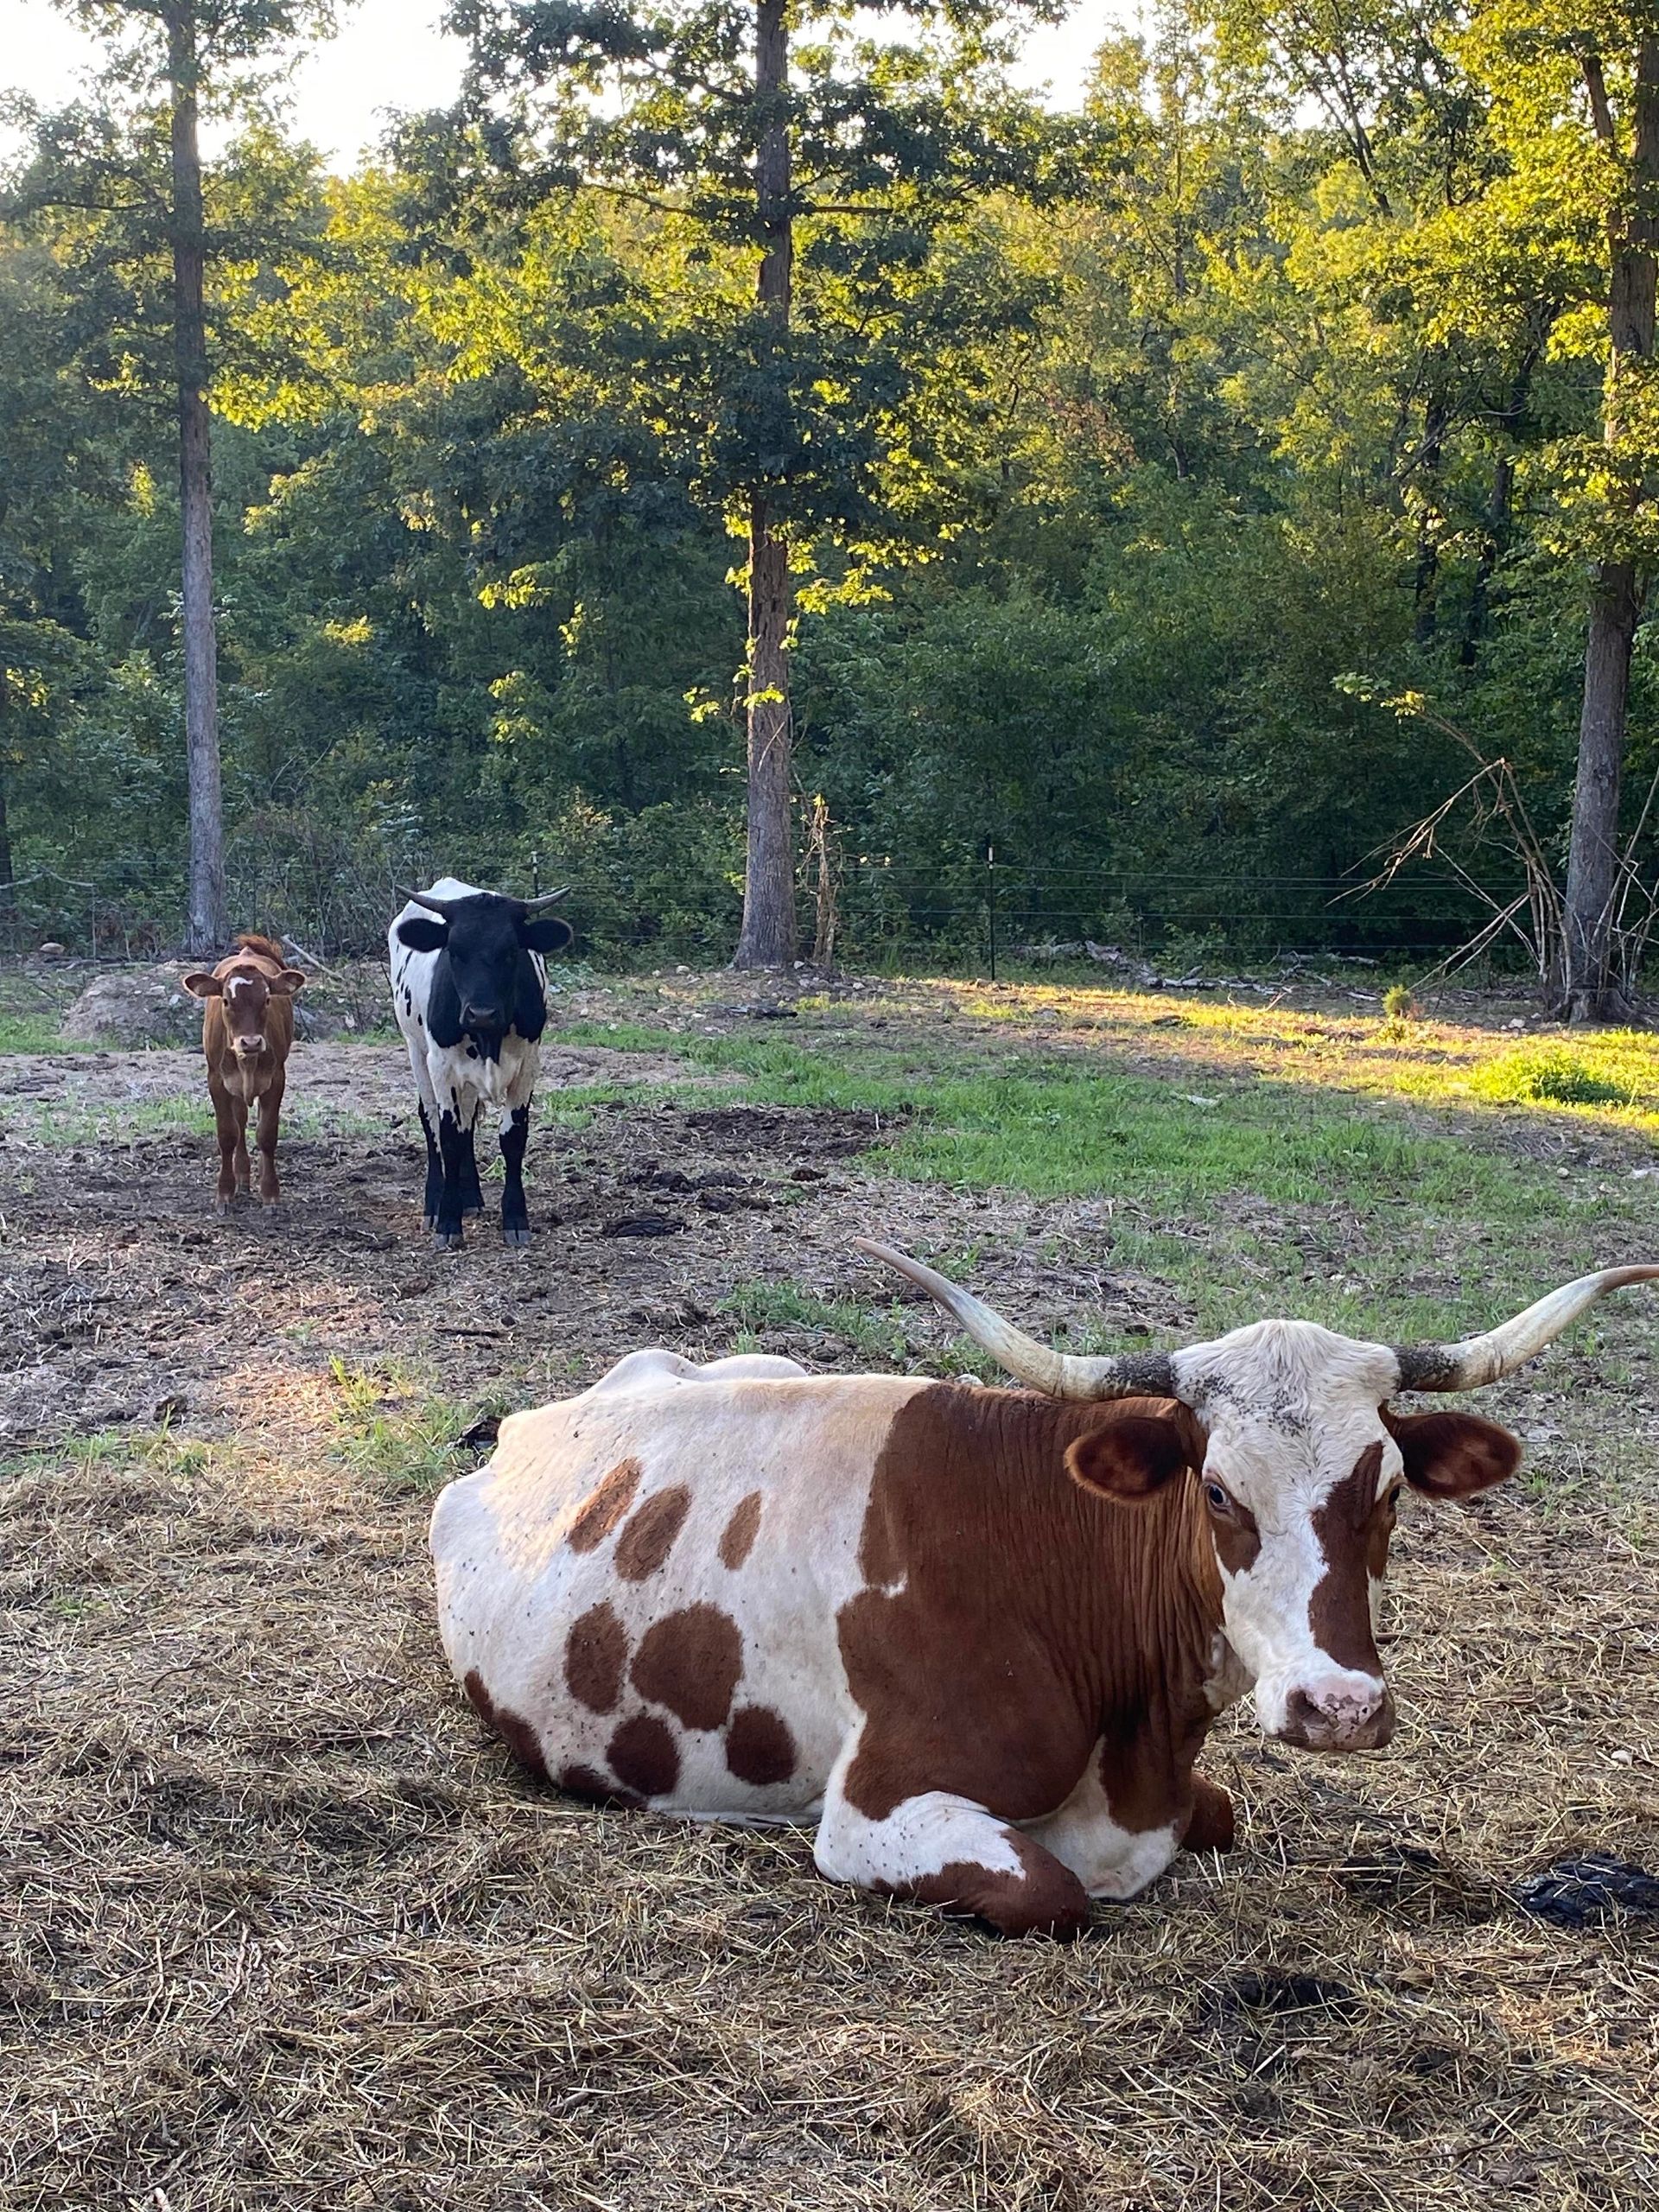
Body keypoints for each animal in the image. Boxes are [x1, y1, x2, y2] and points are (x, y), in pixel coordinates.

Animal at [181, 933, 306, 1216]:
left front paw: (270, 1194)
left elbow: (266, 1135)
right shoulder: (216, 1081)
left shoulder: (276, 1080)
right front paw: (224, 1193)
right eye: (227, 1001)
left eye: (267, 1000)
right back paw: (242, 1177)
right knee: (239, 1121)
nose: (250, 1043)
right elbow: (228, 1134)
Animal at [389, 879, 573, 1248]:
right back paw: (434, 1203)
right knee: (431, 1120)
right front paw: (448, 1220)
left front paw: (515, 1218)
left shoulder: (528, 1065)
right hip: (416, 1051)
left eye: (511, 952)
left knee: (469, 1122)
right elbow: (448, 1137)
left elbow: (512, 1137)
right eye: (454, 952)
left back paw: (471, 1197)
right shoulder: (442, 1067)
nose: (481, 1013)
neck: (489, 1038)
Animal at [429, 1240, 1659, 1936]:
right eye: (1217, 1490)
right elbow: (1050, 1891)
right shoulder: (872, 1811)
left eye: (1392, 1487)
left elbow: (1222, 1814)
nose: (1341, 1705)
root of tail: (531, 1421)